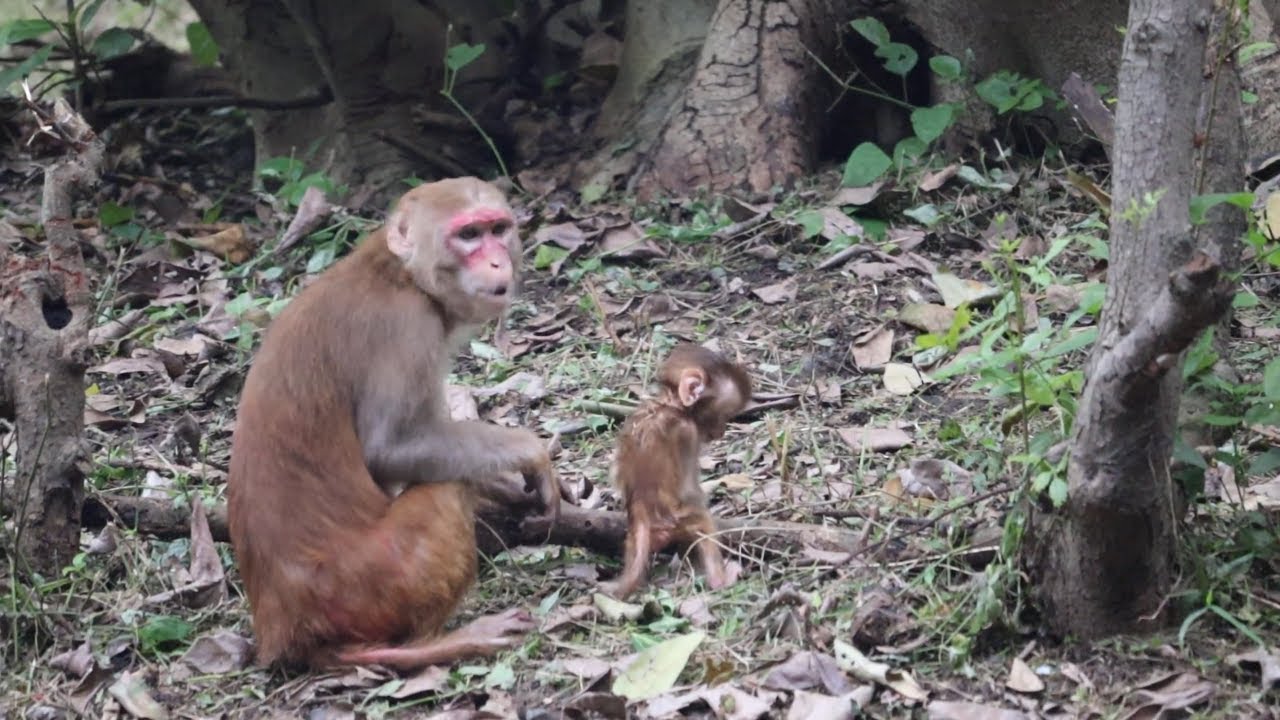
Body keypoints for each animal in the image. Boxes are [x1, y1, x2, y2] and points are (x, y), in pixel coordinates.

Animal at [227, 177, 560, 672]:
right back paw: (430, 643)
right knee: (443, 492)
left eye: (498, 229)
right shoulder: (407, 329)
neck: (398, 273)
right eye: (469, 236)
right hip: (377, 582)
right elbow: (390, 449)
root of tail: (283, 625)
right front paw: (531, 454)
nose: (498, 260)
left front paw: (508, 486)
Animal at [603, 343, 752, 600]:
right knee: (703, 523)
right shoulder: (687, 433)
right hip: (679, 520)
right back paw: (721, 580)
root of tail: (641, 508)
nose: (721, 431)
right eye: (722, 415)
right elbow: (690, 488)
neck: (669, 405)